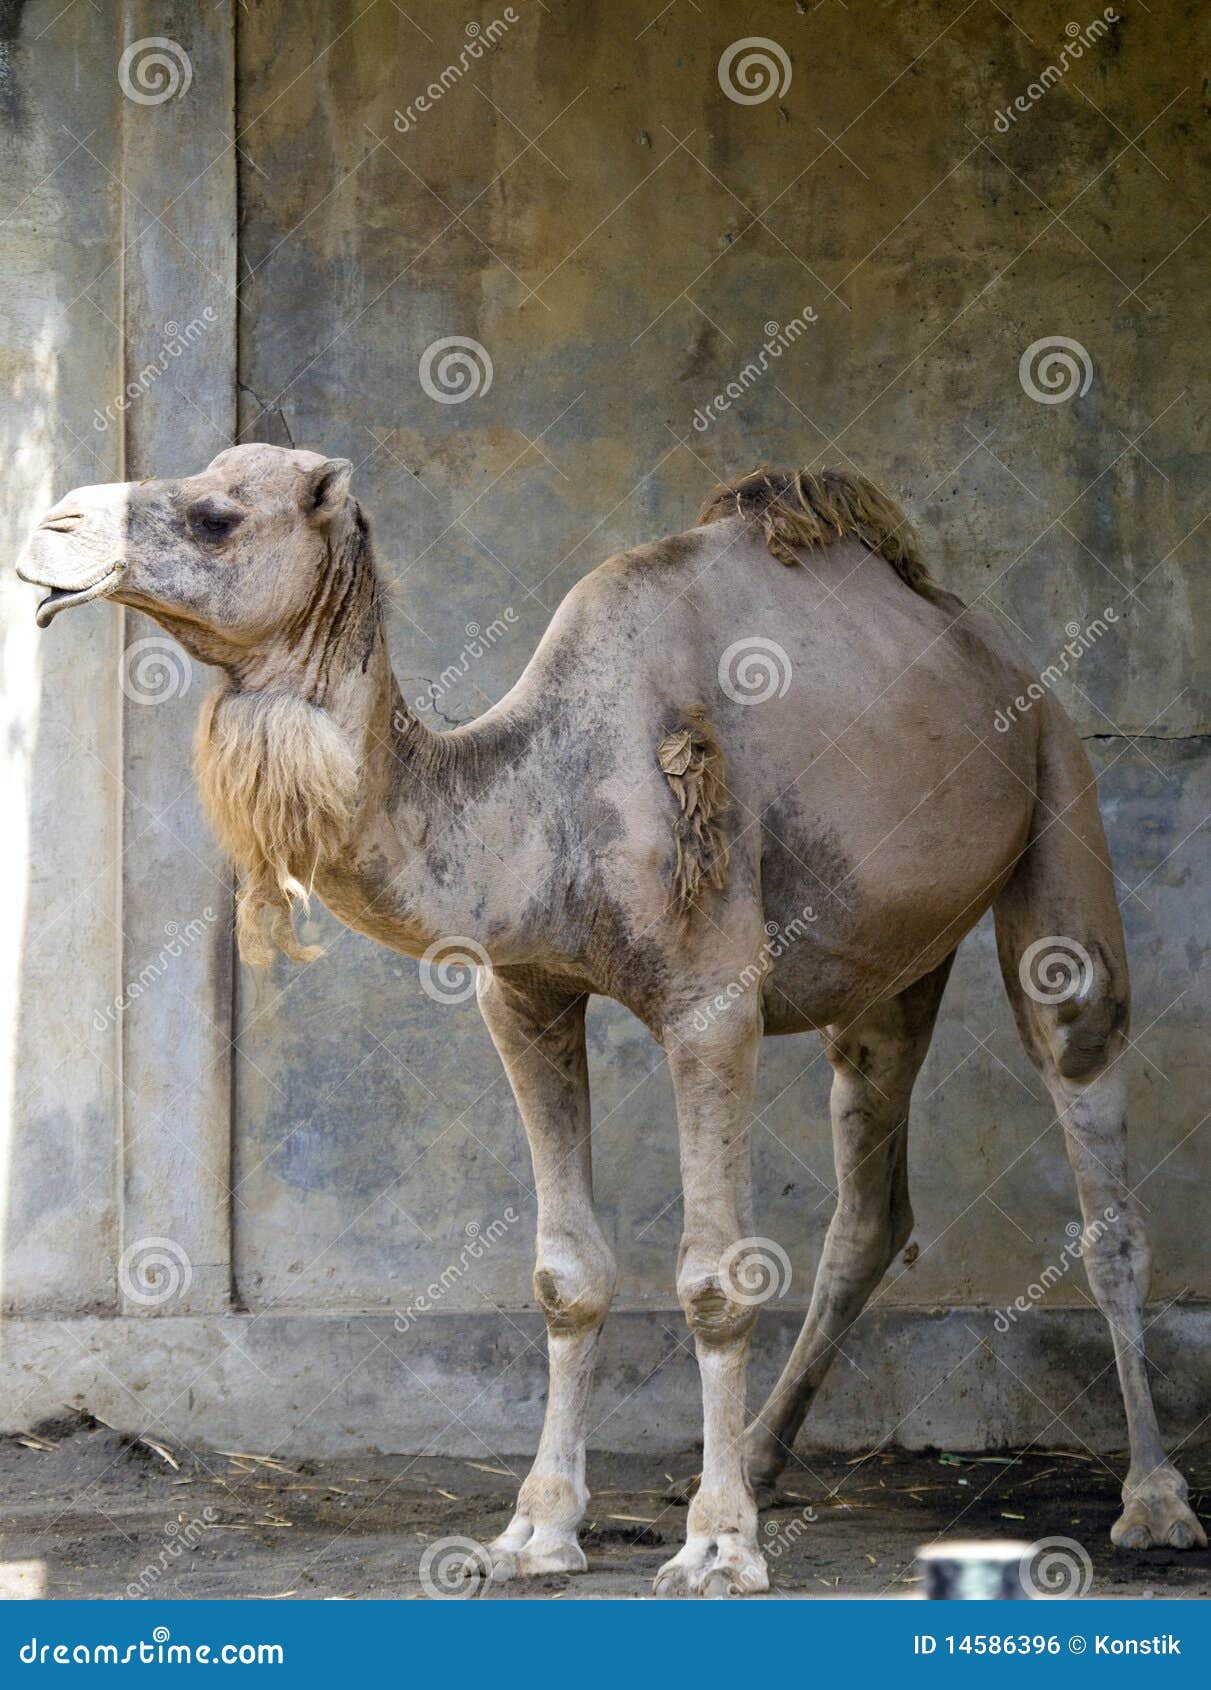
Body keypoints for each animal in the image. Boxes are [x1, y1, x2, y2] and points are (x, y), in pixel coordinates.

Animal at [18, 445, 1204, 1595]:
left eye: (216, 515)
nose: (48, 531)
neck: (535, 797)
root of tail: (991, 650)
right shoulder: (522, 992)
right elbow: (565, 1276)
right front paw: (536, 1530)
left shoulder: (712, 1003)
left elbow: (716, 1280)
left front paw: (717, 1548)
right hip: (890, 958)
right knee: (870, 1195)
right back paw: (759, 1455)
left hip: (1057, 788)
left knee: (1099, 1173)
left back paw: (1151, 1503)